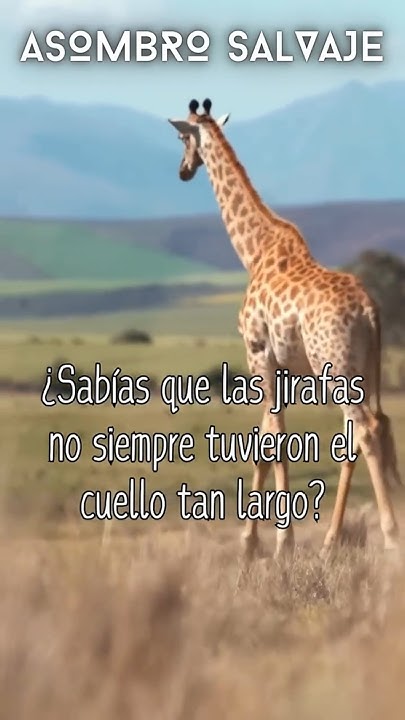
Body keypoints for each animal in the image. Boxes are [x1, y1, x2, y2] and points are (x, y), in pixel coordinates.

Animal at [168, 98, 402, 561]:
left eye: (183, 136)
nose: (183, 170)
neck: (254, 251)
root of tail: (370, 310)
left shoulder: (258, 354)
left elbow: (273, 438)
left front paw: (281, 543)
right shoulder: (281, 365)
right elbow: (264, 440)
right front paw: (250, 542)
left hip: (337, 368)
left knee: (366, 430)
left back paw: (388, 536)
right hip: (364, 368)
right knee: (377, 427)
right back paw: (338, 540)